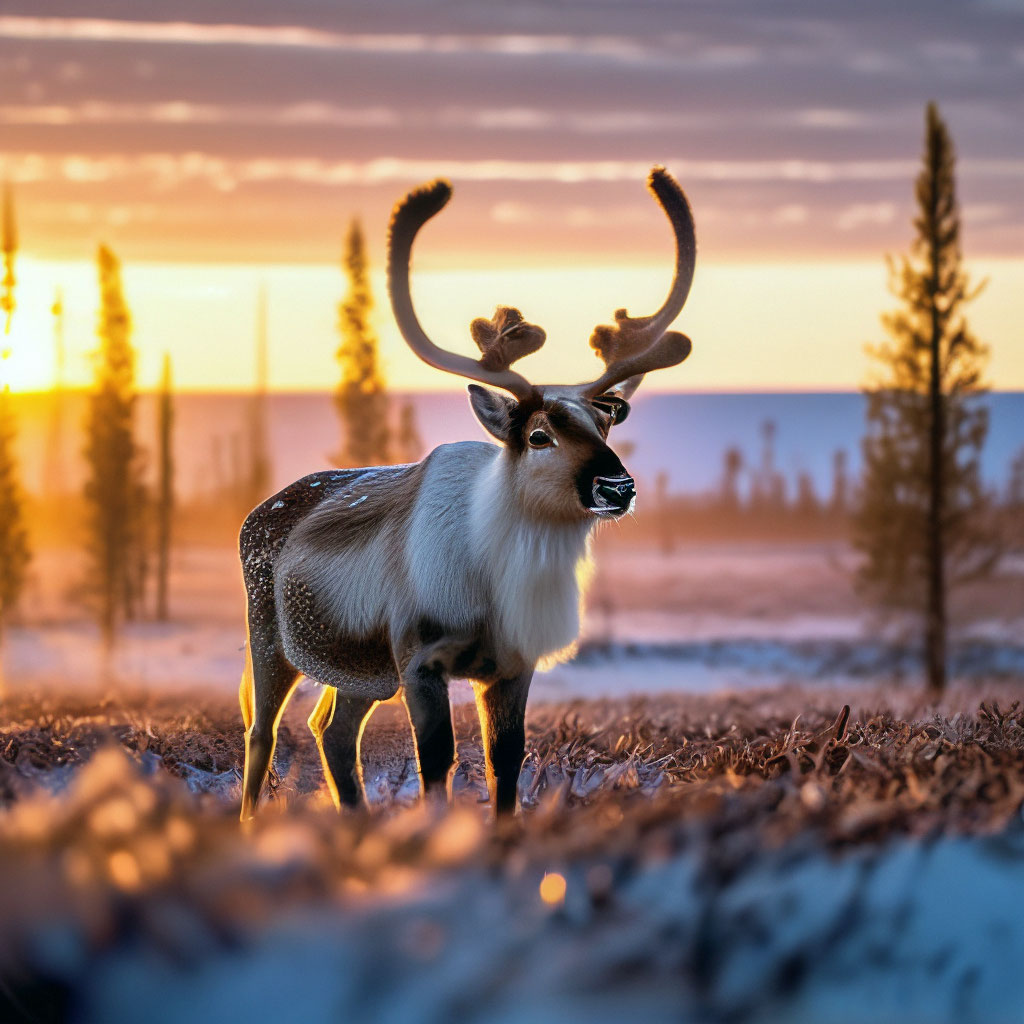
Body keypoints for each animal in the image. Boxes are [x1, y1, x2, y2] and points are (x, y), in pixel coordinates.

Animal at [237, 165, 696, 820]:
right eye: (537, 436)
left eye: (603, 424)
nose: (616, 485)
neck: (493, 588)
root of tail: (254, 514)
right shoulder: (418, 658)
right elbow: (437, 761)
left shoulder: (511, 666)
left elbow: (506, 759)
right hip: (270, 634)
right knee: (262, 729)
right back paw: (251, 820)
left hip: (361, 672)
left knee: (331, 728)